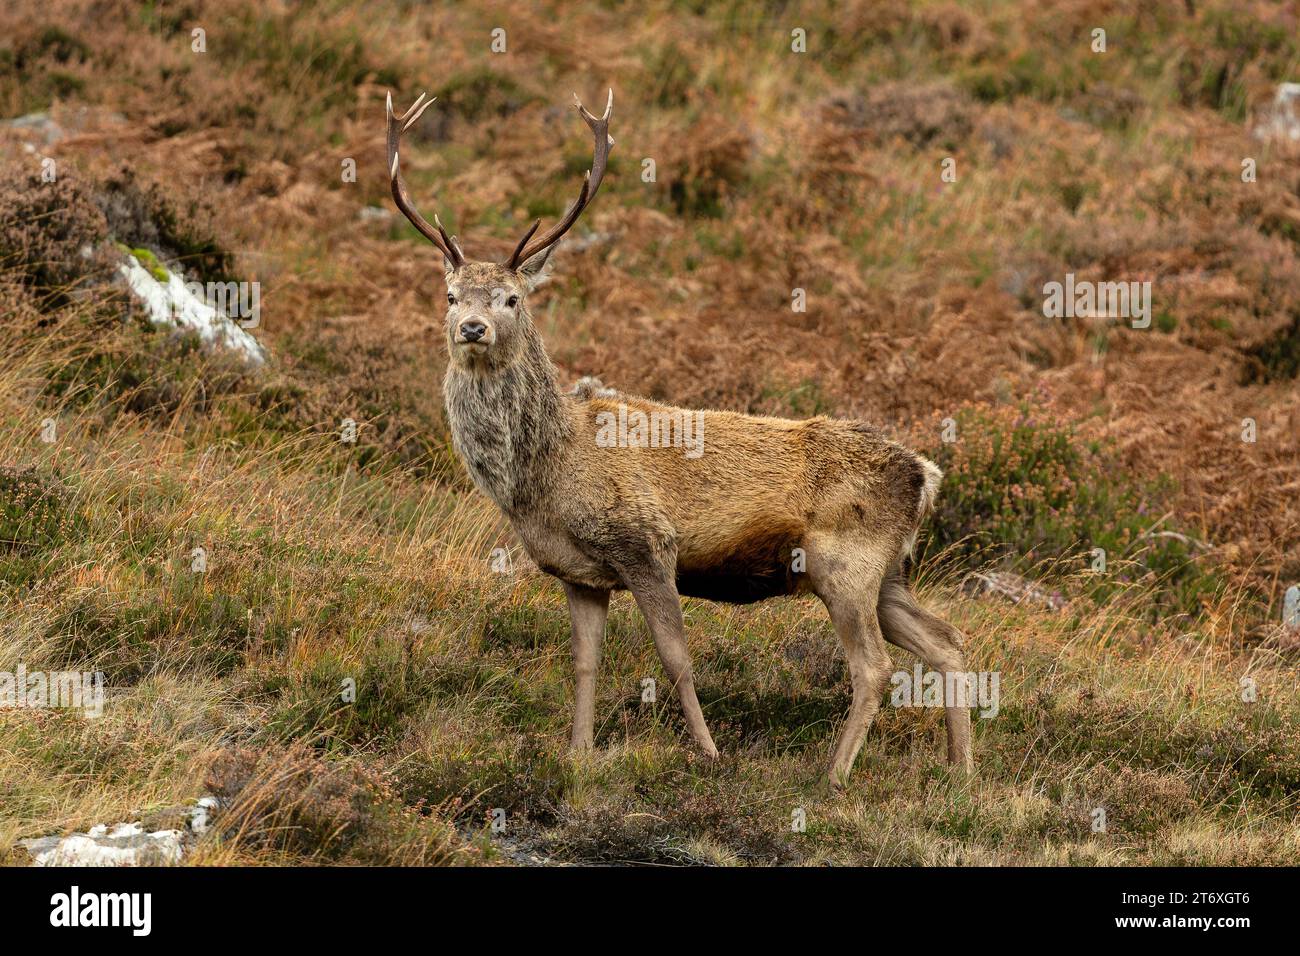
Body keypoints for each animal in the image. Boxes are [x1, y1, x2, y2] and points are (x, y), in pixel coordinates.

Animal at [387, 89, 973, 787]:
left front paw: (710, 753)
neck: (546, 474)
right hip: (890, 574)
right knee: (947, 640)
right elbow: (584, 661)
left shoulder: (647, 544)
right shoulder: (580, 574)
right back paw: (962, 771)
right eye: (451, 295)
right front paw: (578, 752)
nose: (472, 328)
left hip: (846, 563)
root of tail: (926, 477)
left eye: (511, 298)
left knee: (875, 667)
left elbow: (676, 657)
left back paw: (833, 776)